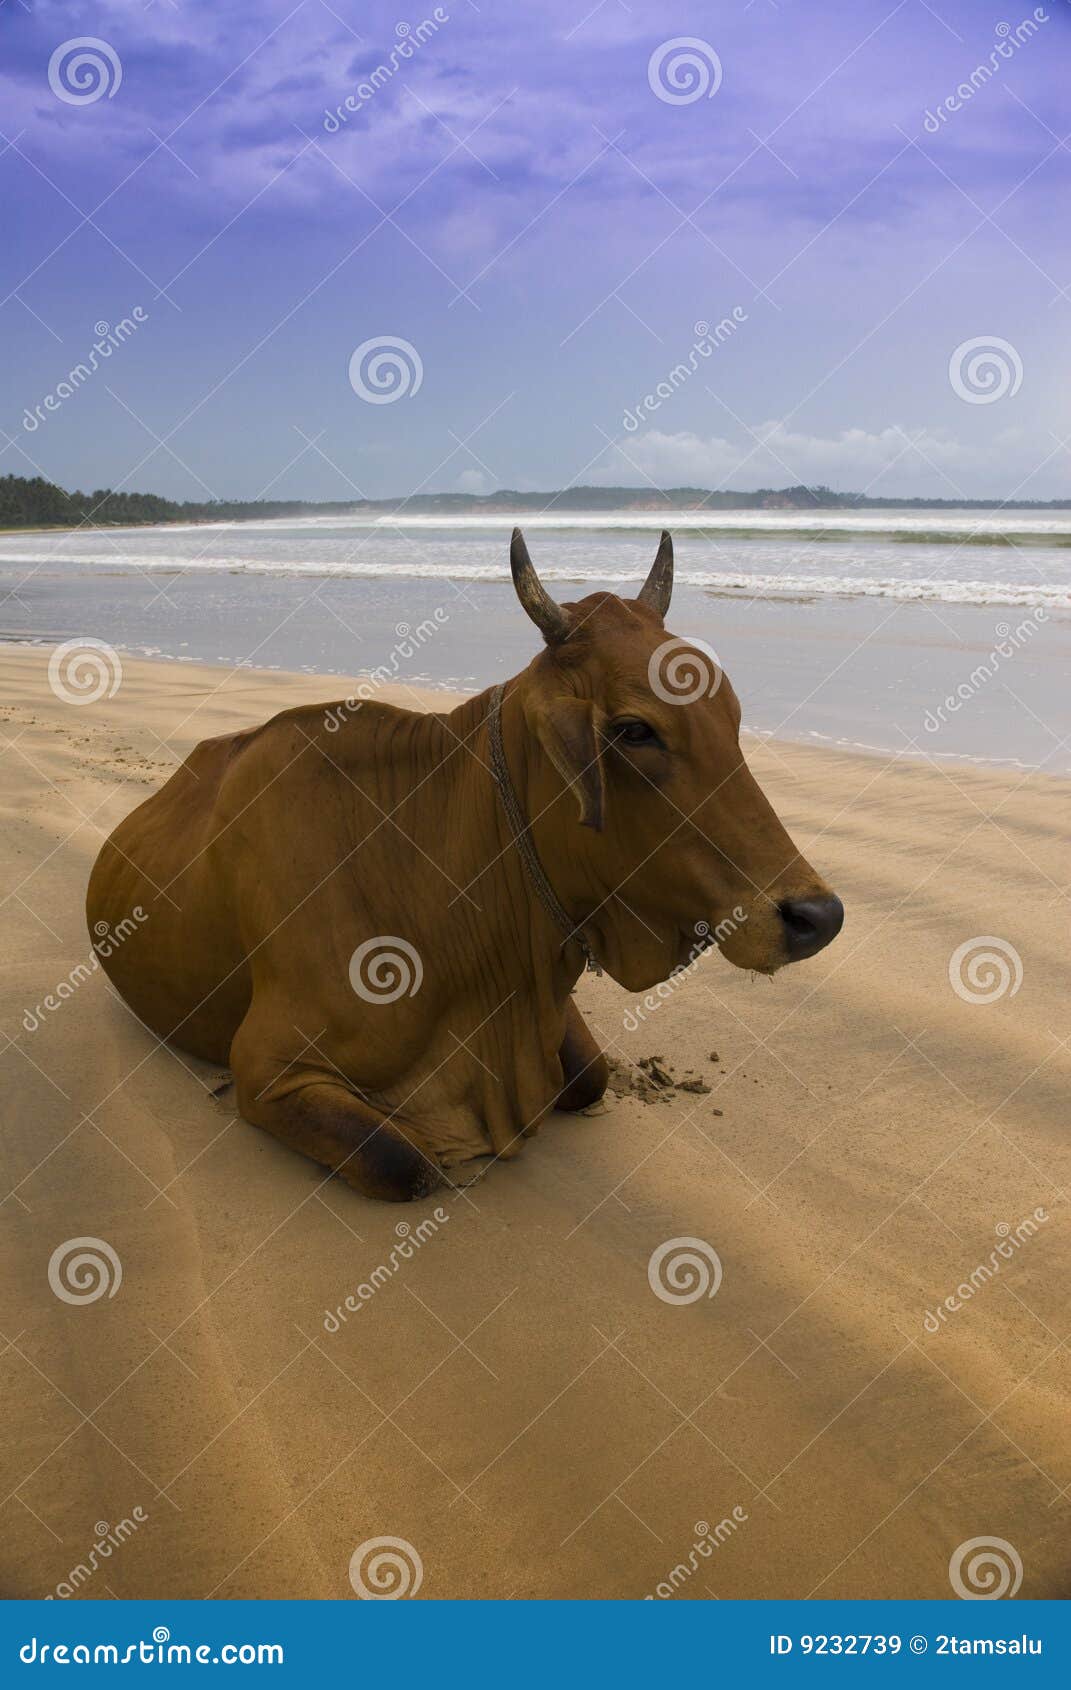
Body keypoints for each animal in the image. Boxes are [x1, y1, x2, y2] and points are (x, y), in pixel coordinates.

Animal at [86, 531, 843, 1202]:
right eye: (634, 730)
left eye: (730, 715)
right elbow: (408, 1165)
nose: (817, 916)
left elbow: (590, 1075)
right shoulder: (266, 1067)